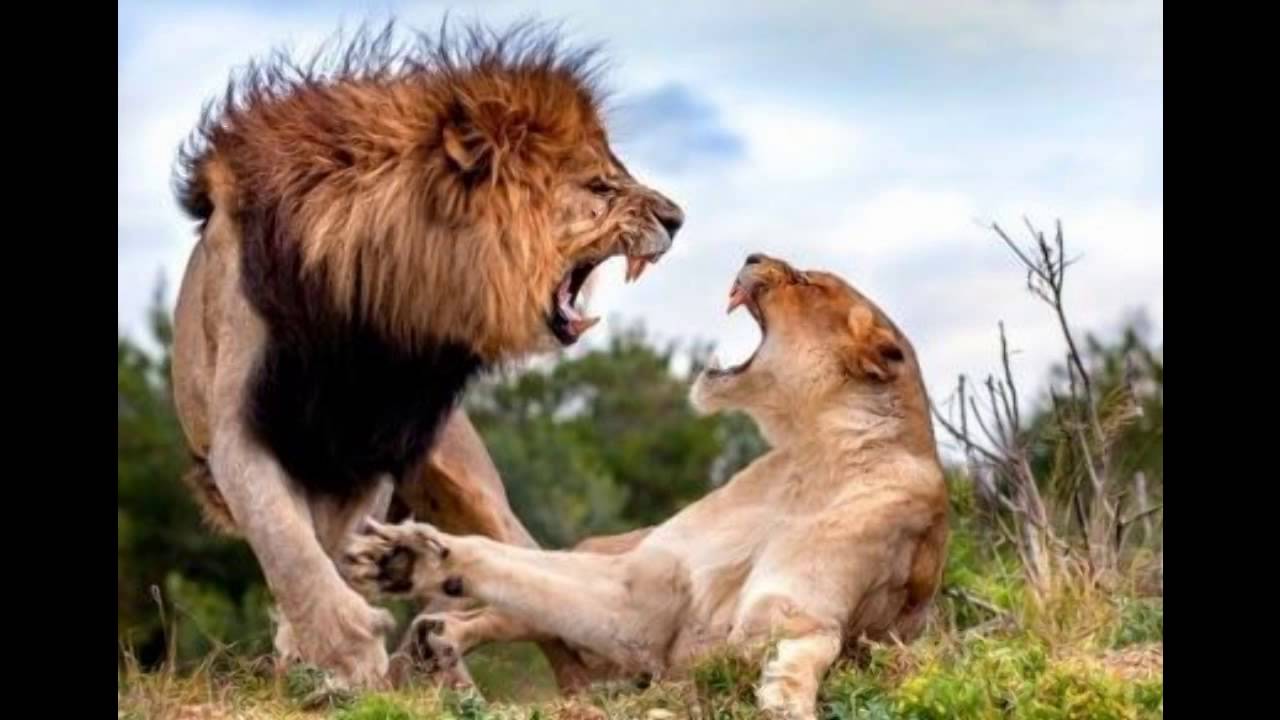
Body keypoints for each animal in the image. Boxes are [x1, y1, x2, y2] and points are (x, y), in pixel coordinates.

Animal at [167, 21, 684, 690]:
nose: (677, 218)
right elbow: (287, 541)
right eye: (599, 186)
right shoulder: (243, 429)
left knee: (548, 586)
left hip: (478, 494)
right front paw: (341, 646)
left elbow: (331, 546)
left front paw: (335, 648)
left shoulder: (371, 448)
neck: (378, 311)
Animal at [342, 253, 950, 719]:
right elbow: (508, 568)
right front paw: (410, 555)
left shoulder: (782, 617)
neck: (810, 455)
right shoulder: (639, 594)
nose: (753, 255)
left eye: (805, 281)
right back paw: (437, 636)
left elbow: (806, 652)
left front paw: (787, 695)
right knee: (513, 610)